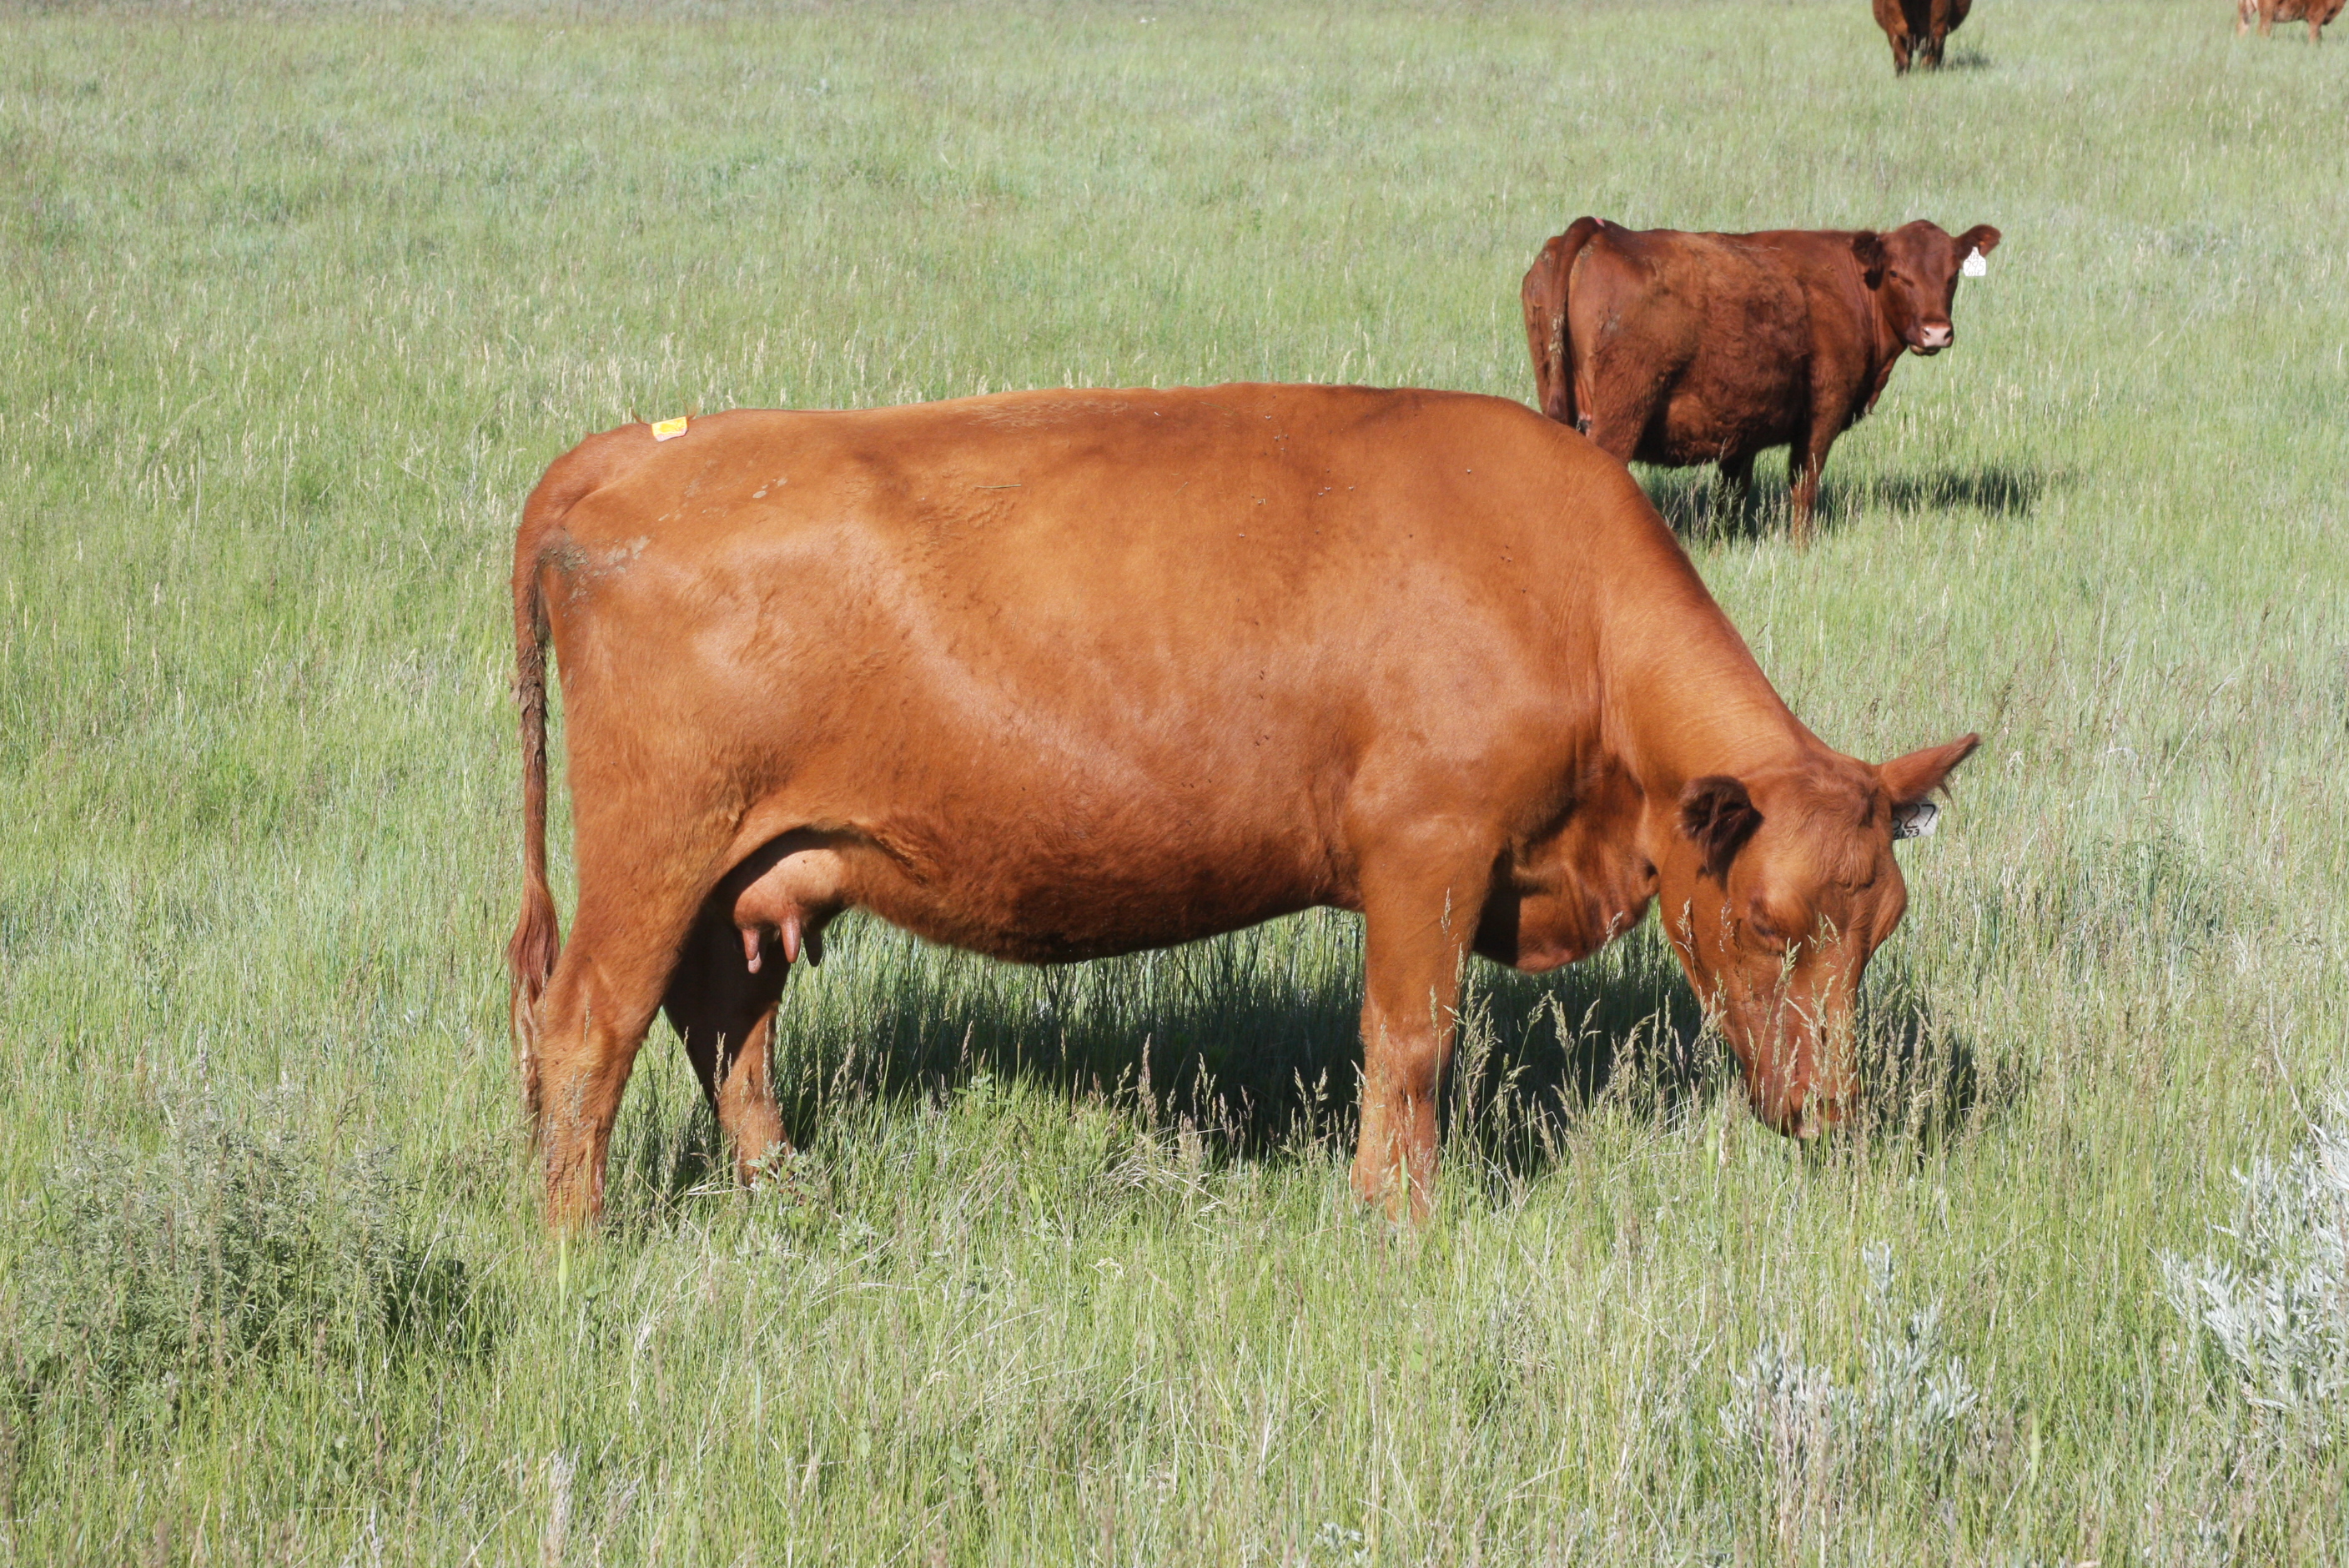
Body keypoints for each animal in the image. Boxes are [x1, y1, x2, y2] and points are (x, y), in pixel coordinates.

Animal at [507, 385, 1980, 1230]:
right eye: (1772, 924)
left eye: (1880, 929)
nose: (1830, 1111)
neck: (1567, 593)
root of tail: (632, 455)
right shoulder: (1427, 853)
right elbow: (1410, 1045)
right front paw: (1402, 1216)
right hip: (656, 851)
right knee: (586, 1028)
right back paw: (580, 1246)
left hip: (751, 870)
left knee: (724, 1025)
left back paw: (785, 1191)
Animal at [1520, 218, 2002, 544]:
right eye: (1898, 274)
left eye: (1952, 274)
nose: (1936, 332)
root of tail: (1603, 232)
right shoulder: (1823, 413)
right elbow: (1804, 487)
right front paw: (1802, 550)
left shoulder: (1740, 429)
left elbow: (1729, 501)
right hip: (1619, 420)